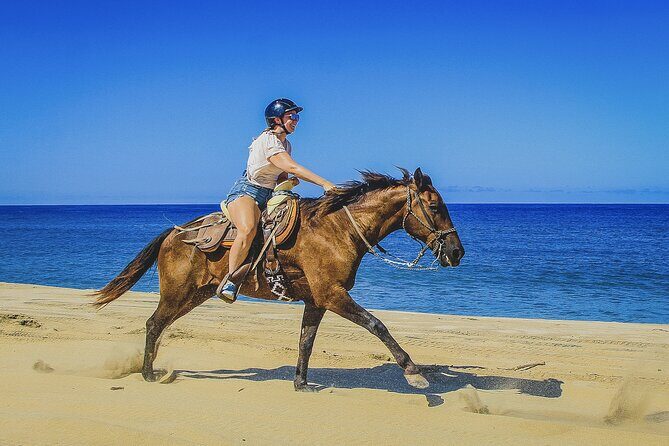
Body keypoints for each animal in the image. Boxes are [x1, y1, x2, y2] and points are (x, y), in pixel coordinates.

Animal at [93, 167, 464, 390]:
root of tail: (174, 233)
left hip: (195, 295)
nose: (457, 251)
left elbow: (305, 342)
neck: (337, 229)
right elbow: (378, 325)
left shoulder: (317, 300)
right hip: (177, 293)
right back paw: (147, 373)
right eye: (434, 206)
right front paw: (413, 372)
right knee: (154, 324)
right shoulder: (332, 294)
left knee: (160, 325)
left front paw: (301, 383)